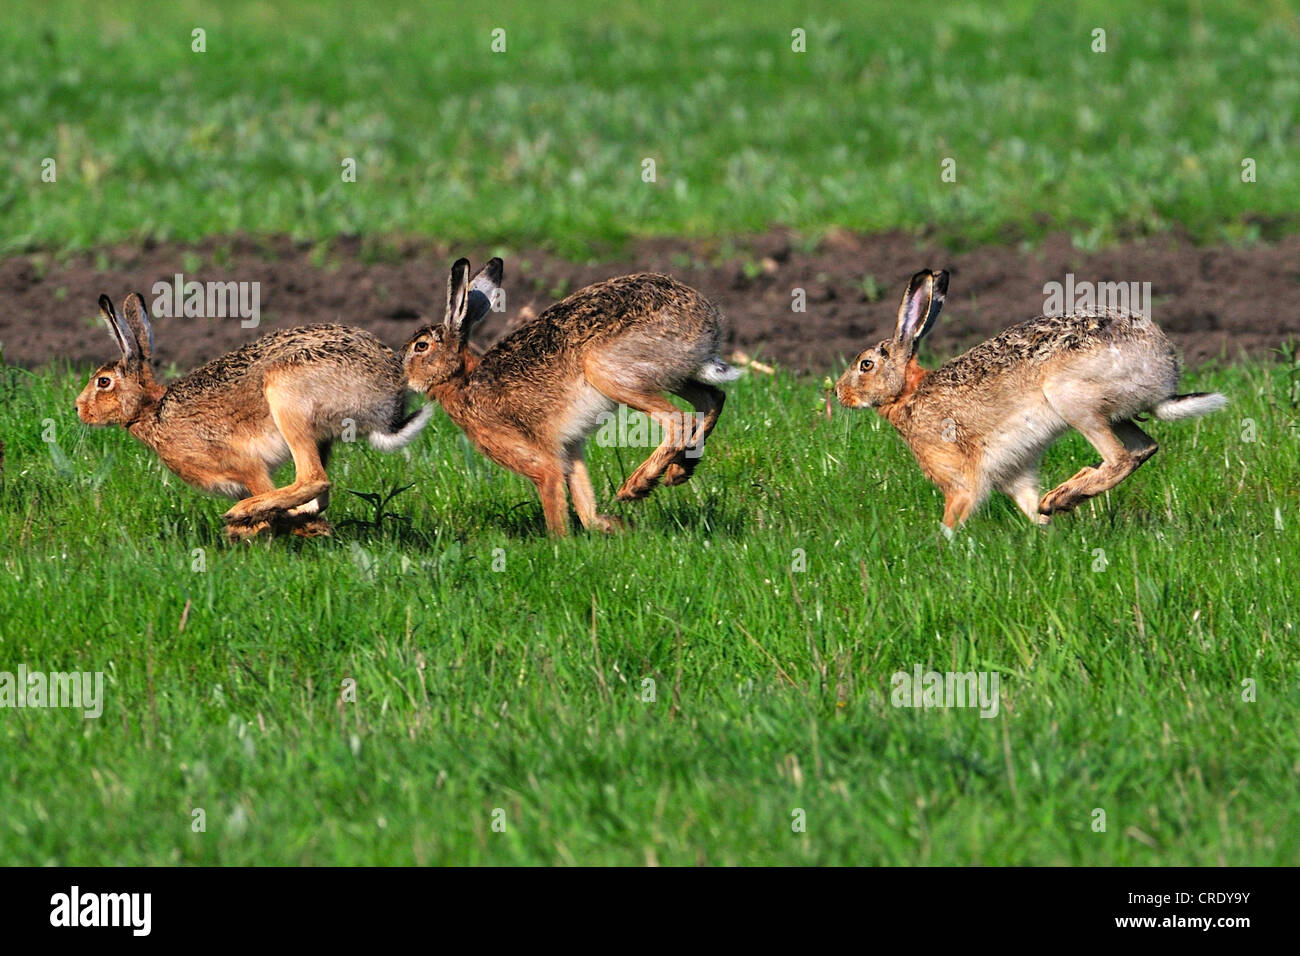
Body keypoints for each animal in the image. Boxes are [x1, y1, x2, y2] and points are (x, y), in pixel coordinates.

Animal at [75, 292, 432, 539]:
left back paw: (242, 513)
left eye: (103, 382)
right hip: (320, 433)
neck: (153, 410)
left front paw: (252, 525)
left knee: (313, 479)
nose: (78, 409)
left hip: (285, 395)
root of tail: (390, 398)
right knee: (319, 494)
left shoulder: (245, 466)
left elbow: (267, 491)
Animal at [402, 257, 739, 536]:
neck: (462, 381)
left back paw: (636, 486)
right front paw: (612, 527)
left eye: (421, 346)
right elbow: (583, 499)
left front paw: (559, 544)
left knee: (678, 419)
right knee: (712, 399)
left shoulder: (538, 458)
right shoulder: (570, 447)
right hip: (666, 374)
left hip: (609, 371)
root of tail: (705, 321)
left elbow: (551, 489)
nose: (403, 376)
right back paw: (679, 471)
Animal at [836, 269, 1227, 527]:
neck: (908, 392)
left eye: (866, 365)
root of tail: (1164, 371)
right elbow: (1024, 500)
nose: (839, 393)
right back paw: (1056, 500)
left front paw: (944, 546)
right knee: (1144, 447)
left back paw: (1061, 497)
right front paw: (1043, 532)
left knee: (1120, 459)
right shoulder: (1012, 471)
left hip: (1071, 399)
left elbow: (956, 510)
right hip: (1112, 412)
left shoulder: (960, 475)